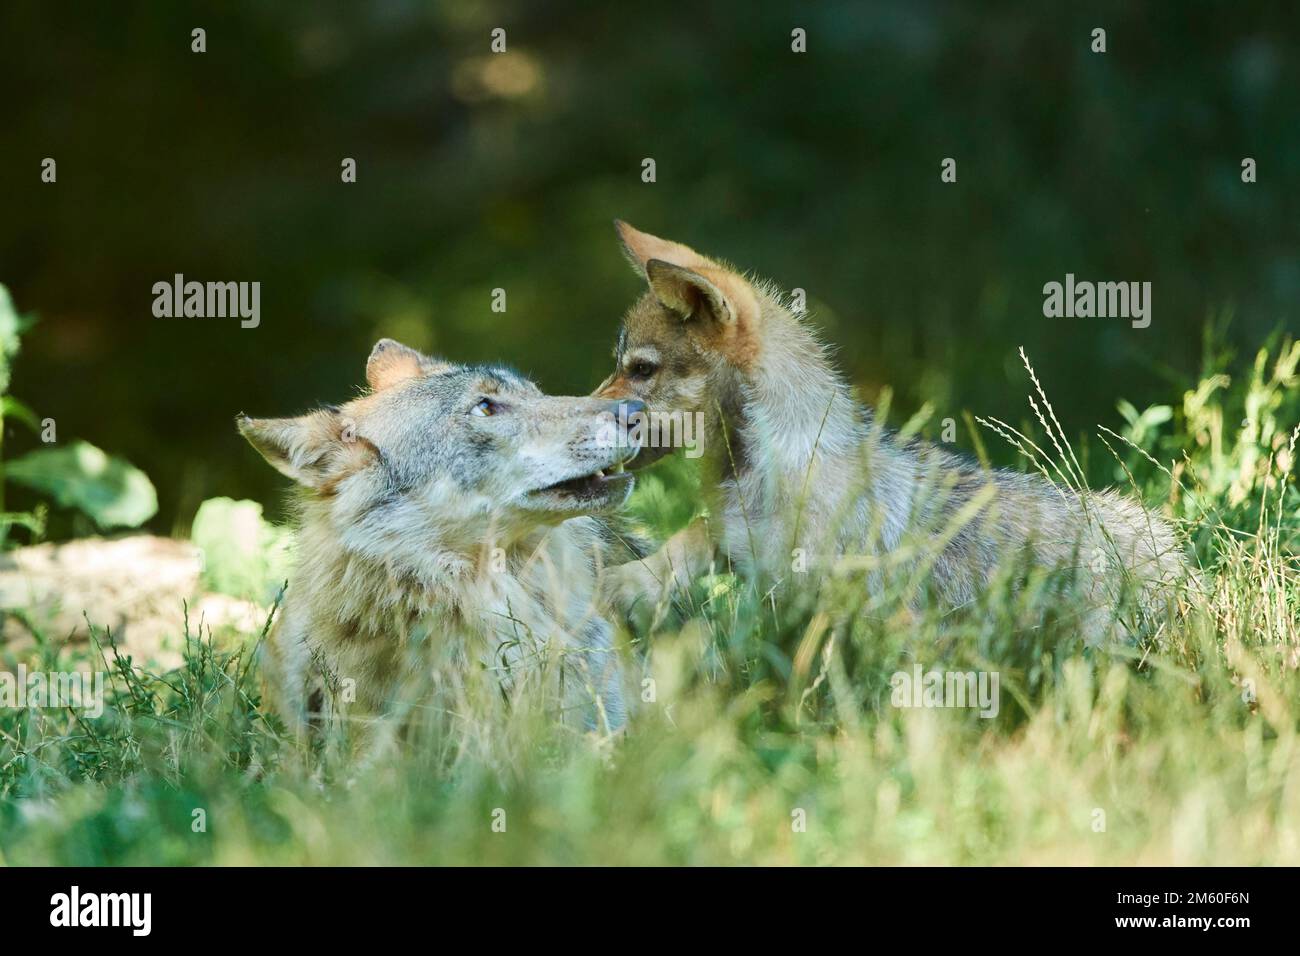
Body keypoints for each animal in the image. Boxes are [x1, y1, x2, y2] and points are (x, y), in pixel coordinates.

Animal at [593, 222, 1186, 638]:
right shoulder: (738, 539)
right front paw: (630, 582)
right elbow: (695, 533)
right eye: (620, 365)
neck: (767, 472)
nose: (575, 411)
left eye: (641, 369)